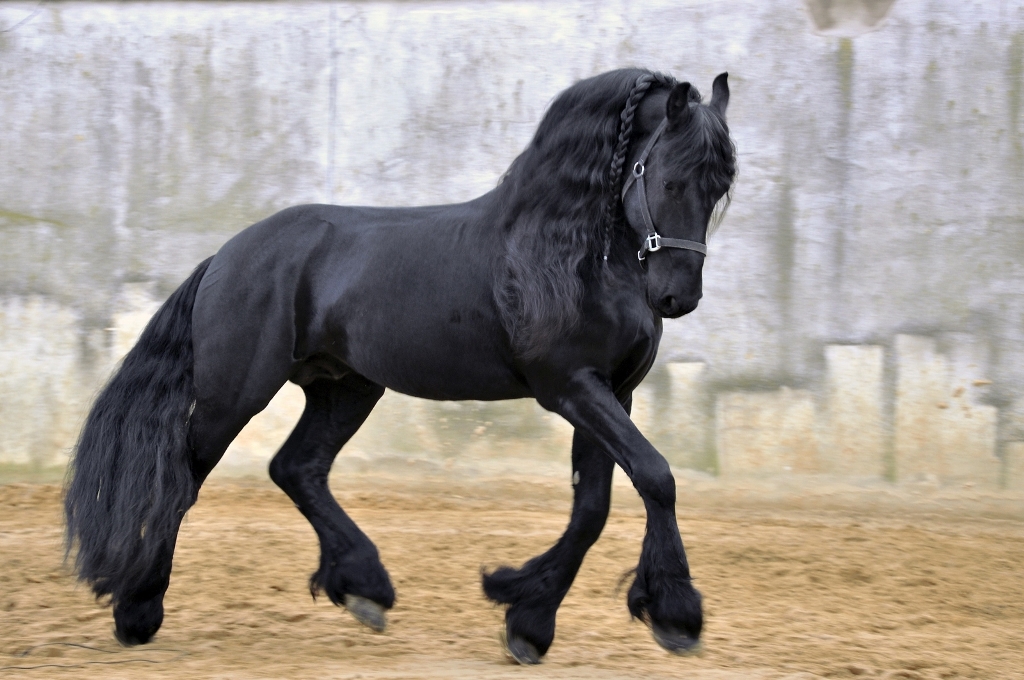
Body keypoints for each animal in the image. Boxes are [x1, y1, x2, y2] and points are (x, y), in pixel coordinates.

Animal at [64, 67, 736, 664]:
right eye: (671, 180)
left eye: (721, 187)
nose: (678, 297)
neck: (568, 254)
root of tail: (227, 255)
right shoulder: (570, 388)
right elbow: (656, 476)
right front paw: (676, 616)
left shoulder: (610, 393)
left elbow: (592, 509)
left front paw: (526, 619)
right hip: (235, 395)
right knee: (185, 478)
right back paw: (137, 611)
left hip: (346, 389)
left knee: (296, 468)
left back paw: (365, 589)